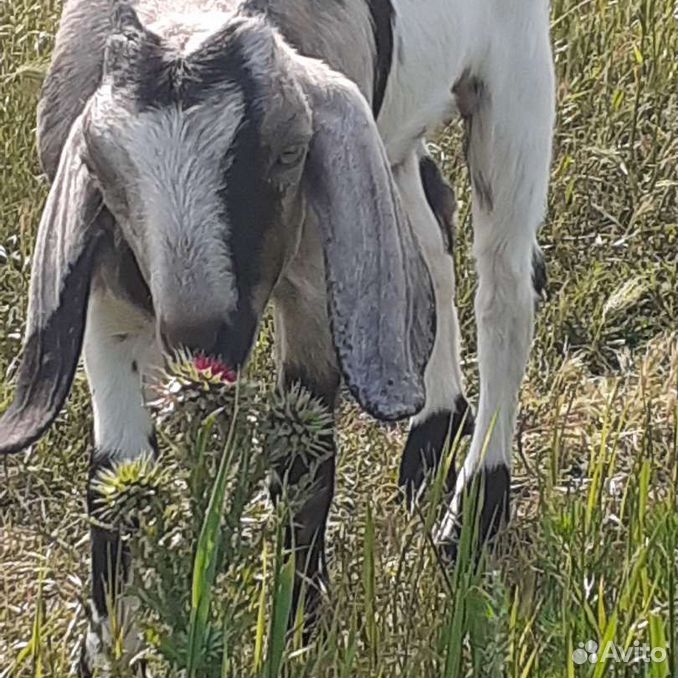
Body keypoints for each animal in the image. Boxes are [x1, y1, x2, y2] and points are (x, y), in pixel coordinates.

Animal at [0, 0, 556, 672]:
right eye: (103, 172)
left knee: (506, 290)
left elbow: (303, 464)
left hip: (513, 85)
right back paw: (433, 436)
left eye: (289, 154)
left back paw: (473, 514)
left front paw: (297, 632)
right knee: (432, 235)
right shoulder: (109, 290)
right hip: (396, 145)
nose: (201, 336)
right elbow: (116, 475)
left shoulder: (318, 265)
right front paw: (105, 652)